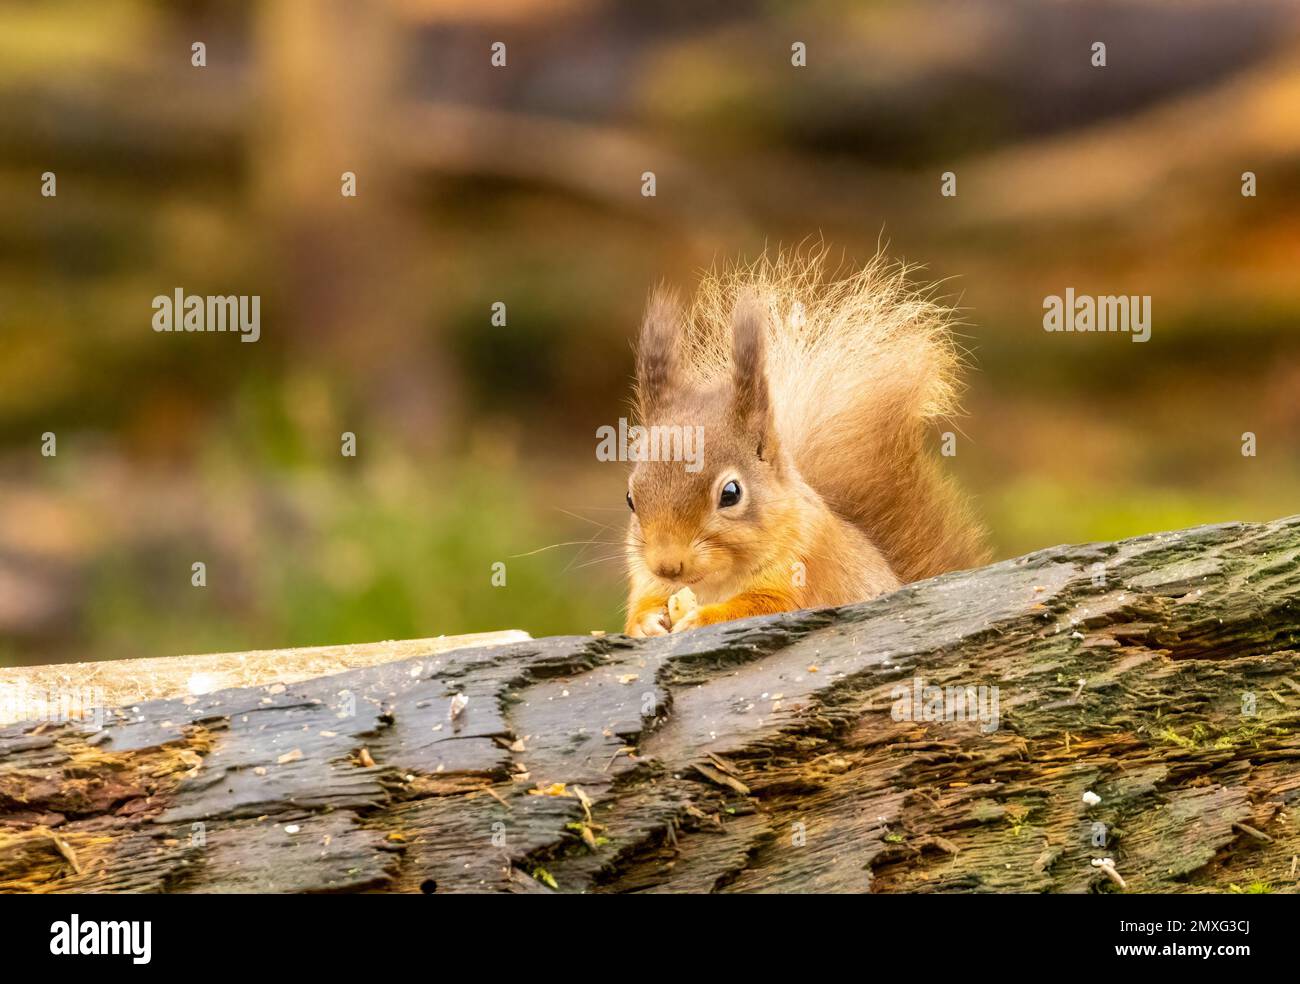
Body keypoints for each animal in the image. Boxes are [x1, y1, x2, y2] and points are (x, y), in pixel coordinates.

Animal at [624, 249, 989, 636]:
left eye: (731, 494)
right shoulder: (644, 577)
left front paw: (701, 617)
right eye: (630, 498)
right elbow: (640, 606)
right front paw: (646, 621)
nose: (667, 566)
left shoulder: (804, 570)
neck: (713, 583)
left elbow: (763, 606)